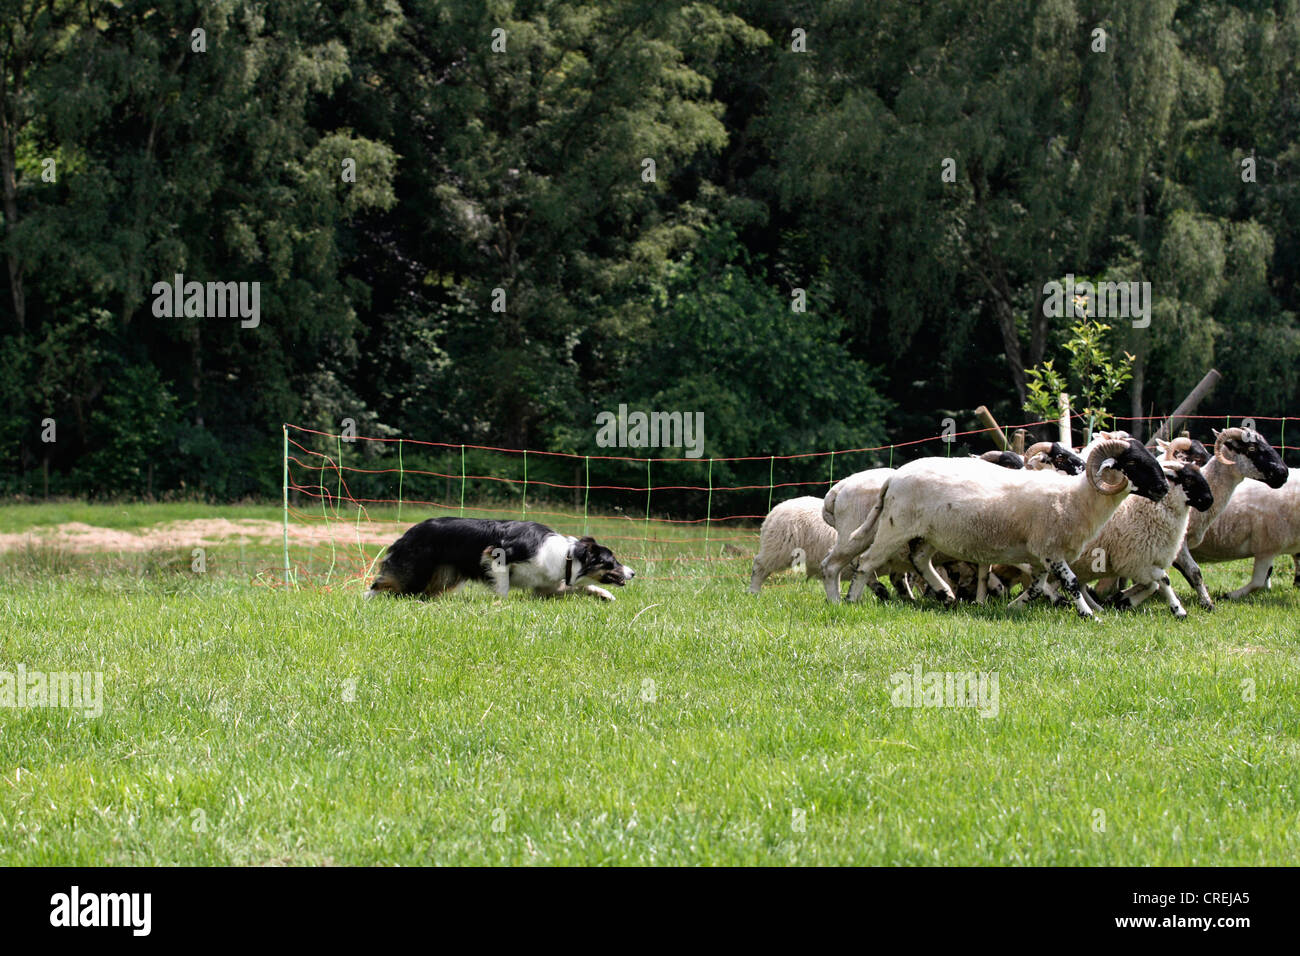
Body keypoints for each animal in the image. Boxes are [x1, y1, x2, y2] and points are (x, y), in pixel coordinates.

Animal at [841, 437, 1169, 617]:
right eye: (1134, 464)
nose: (1164, 488)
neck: (1075, 498)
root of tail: (893, 477)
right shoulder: (1050, 551)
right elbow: (1073, 583)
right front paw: (1089, 615)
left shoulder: (1040, 557)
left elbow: (1036, 588)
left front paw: (1013, 608)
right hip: (895, 527)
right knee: (866, 561)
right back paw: (851, 599)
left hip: (928, 534)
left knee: (919, 559)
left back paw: (946, 595)